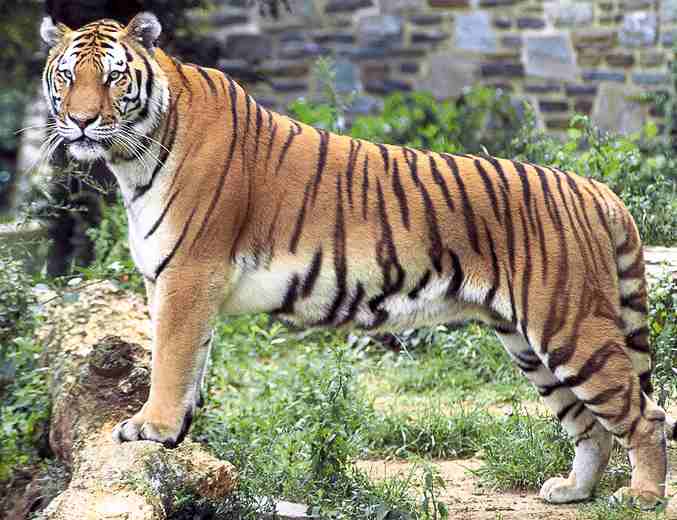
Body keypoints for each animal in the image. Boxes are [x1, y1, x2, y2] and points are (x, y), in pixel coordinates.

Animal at [40, 12, 673, 507]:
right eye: (67, 76)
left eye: (113, 76)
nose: (81, 120)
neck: (133, 158)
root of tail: (593, 187)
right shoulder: (174, 282)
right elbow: (190, 361)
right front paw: (177, 436)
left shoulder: (189, 274)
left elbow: (170, 359)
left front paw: (151, 427)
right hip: (527, 343)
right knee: (590, 425)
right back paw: (573, 491)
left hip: (570, 326)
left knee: (646, 415)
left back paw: (640, 495)